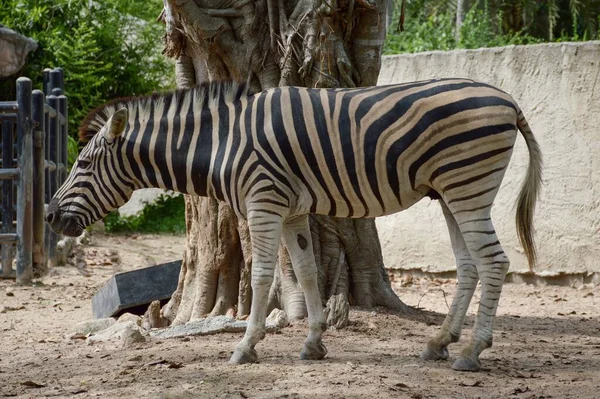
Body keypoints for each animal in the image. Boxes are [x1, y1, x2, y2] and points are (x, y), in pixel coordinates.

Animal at [47, 78, 540, 372]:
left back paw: (472, 351)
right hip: (451, 194)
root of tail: (508, 99)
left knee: (493, 262)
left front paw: (246, 347)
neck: (223, 142)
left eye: (84, 165)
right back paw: (441, 342)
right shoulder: (294, 210)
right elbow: (304, 272)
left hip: (467, 187)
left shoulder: (263, 203)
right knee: (470, 265)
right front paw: (314, 343)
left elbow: (264, 277)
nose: (50, 216)